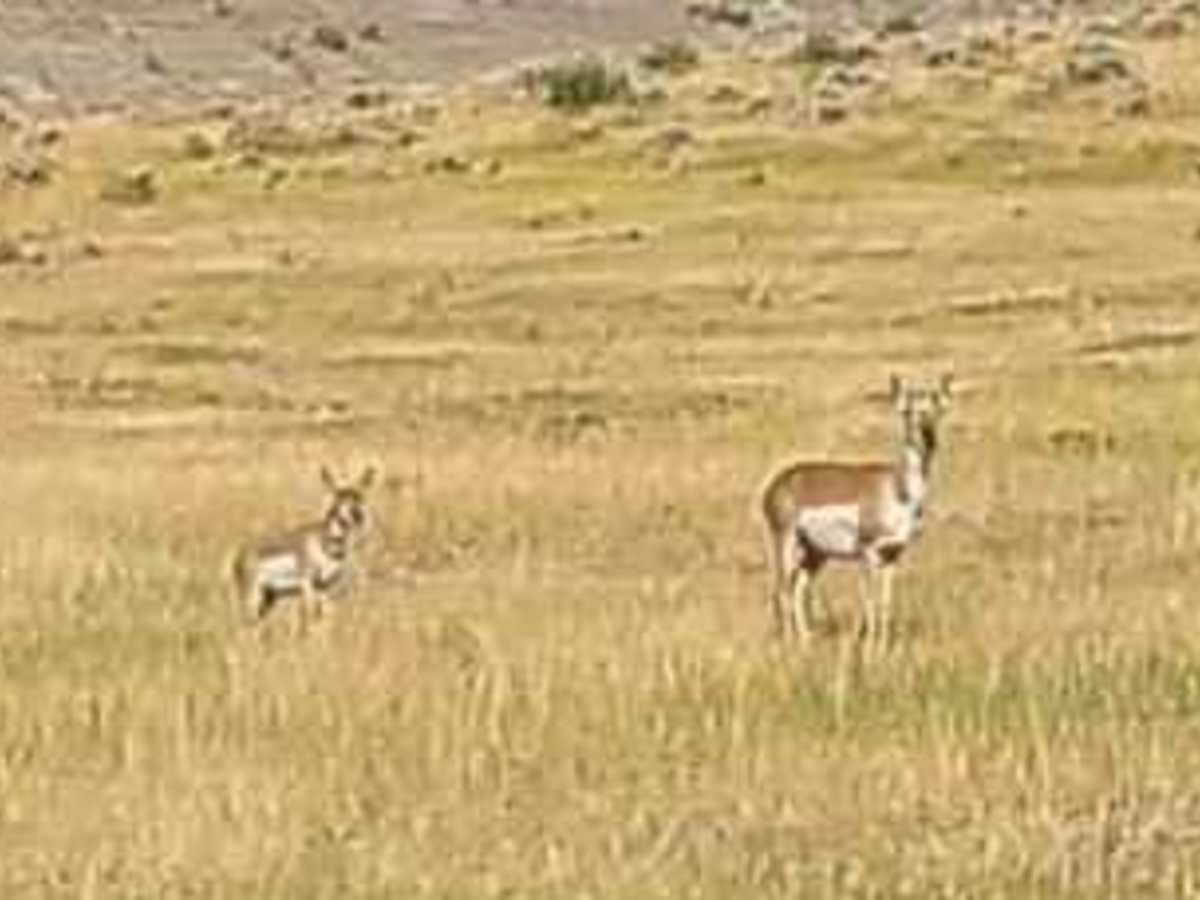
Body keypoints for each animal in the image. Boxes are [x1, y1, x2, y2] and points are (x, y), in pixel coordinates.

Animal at [231, 464, 378, 624]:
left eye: (359, 497)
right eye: (337, 497)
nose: (357, 517)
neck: (325, 544)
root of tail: (239, 555)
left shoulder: (324, 585)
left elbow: (328, 614)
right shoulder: (307, 583)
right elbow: (310, 613)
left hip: (270, 596)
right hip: (253, 594)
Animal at [758, 373, 952, 655]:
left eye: (937, 409)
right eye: (907, 412)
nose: (928, 437)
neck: (897, 490)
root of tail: (777, 482)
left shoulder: (893, 555)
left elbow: (886, 604)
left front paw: (884, 651)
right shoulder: (867, 553)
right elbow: (870, 602)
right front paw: (870, 652)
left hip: (816, 553)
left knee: (798, 586)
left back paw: (807, 644)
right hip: (786, 540)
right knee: (782, 589)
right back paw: (791, 647)